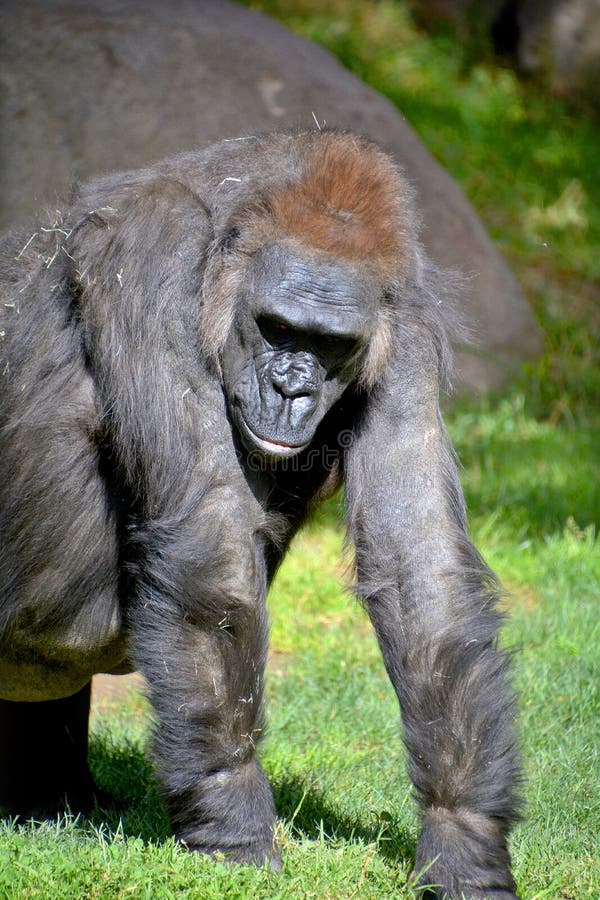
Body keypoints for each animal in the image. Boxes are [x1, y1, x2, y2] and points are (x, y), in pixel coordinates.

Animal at [0, 130, 521, 898]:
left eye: (330, 345)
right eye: (275, 329)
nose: (291, 390)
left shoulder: (405, 324)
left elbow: (420, 575)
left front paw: (464, 840)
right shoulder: (152, 255)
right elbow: (206, 554)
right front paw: (232, 814)